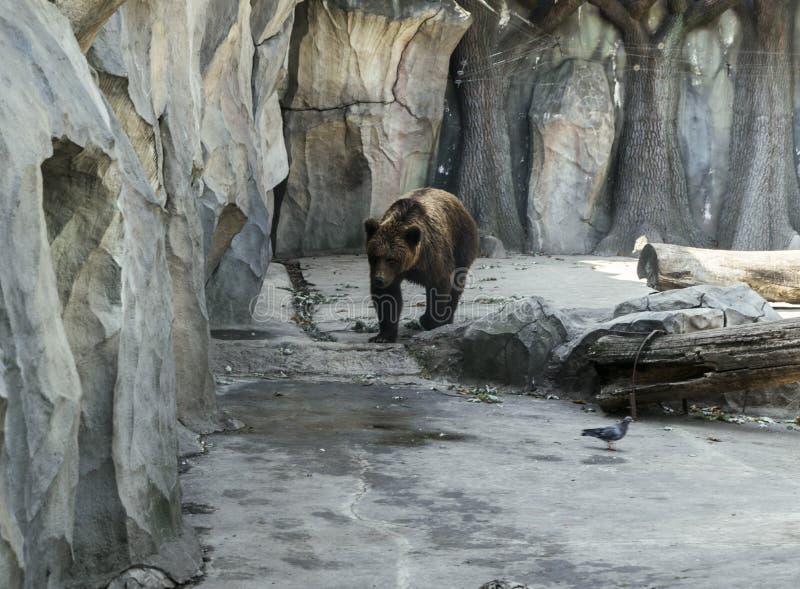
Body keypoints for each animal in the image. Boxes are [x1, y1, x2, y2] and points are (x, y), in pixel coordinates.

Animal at [364, 187, 478, 343]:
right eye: (375, 257)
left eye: (391, 259)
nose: (379, 279)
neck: (412, 264)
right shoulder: (389, 273)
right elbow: (387, 297)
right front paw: (383, 336)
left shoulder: (433, 258)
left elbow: (440, 286)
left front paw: (429, 321)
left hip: (461, 241)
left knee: (457, 282)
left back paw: (447, 319)